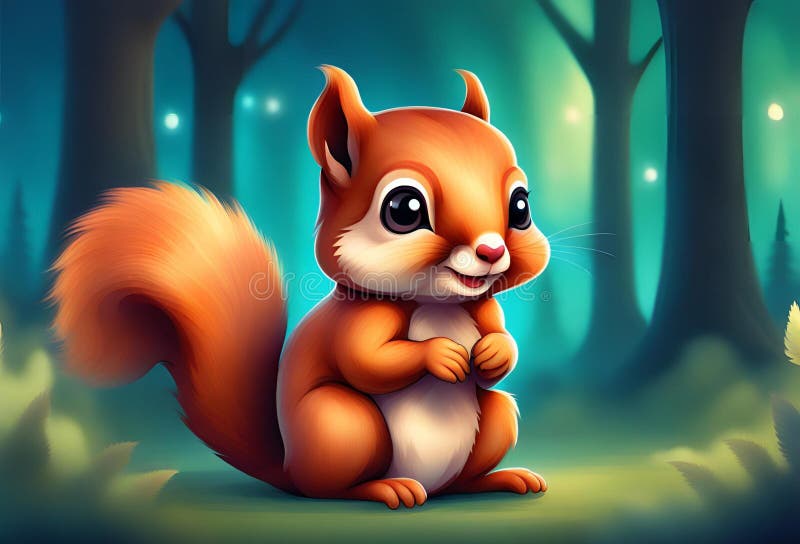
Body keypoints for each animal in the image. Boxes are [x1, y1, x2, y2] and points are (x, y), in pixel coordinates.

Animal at [50, 66, 551, 509]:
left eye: (521, 206)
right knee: (331, 489)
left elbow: (499, 348)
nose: (491, 250)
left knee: (469, 461)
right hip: (342, 425)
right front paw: (441, 355)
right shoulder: (359, 321)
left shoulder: (485, 310)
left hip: (496, 420)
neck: (434, 303)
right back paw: (385, 490)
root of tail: (288, 468)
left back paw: (500, 479)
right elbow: (366, 362)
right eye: (404, 209)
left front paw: (494, 352)